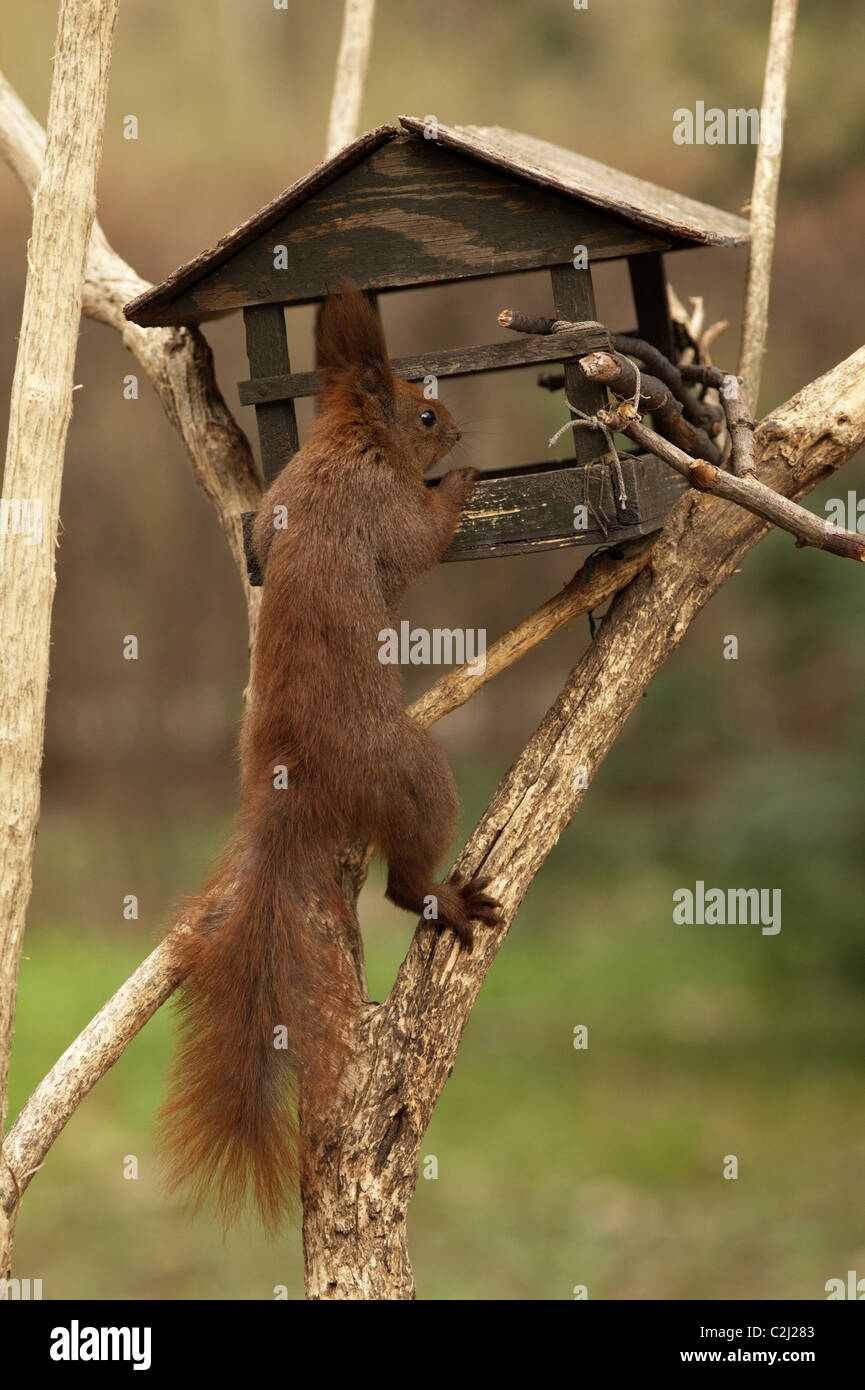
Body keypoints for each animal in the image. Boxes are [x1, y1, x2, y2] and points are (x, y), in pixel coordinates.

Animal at [159, 279, 502, 1230]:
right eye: (424, 414)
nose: (457, 434)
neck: (345, 443)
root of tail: (292, 785)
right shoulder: (383, 506)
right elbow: (421, 541)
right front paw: (461, 485)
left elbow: (259, 543)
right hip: (413, 775)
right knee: (401, 881)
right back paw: (442, 897)